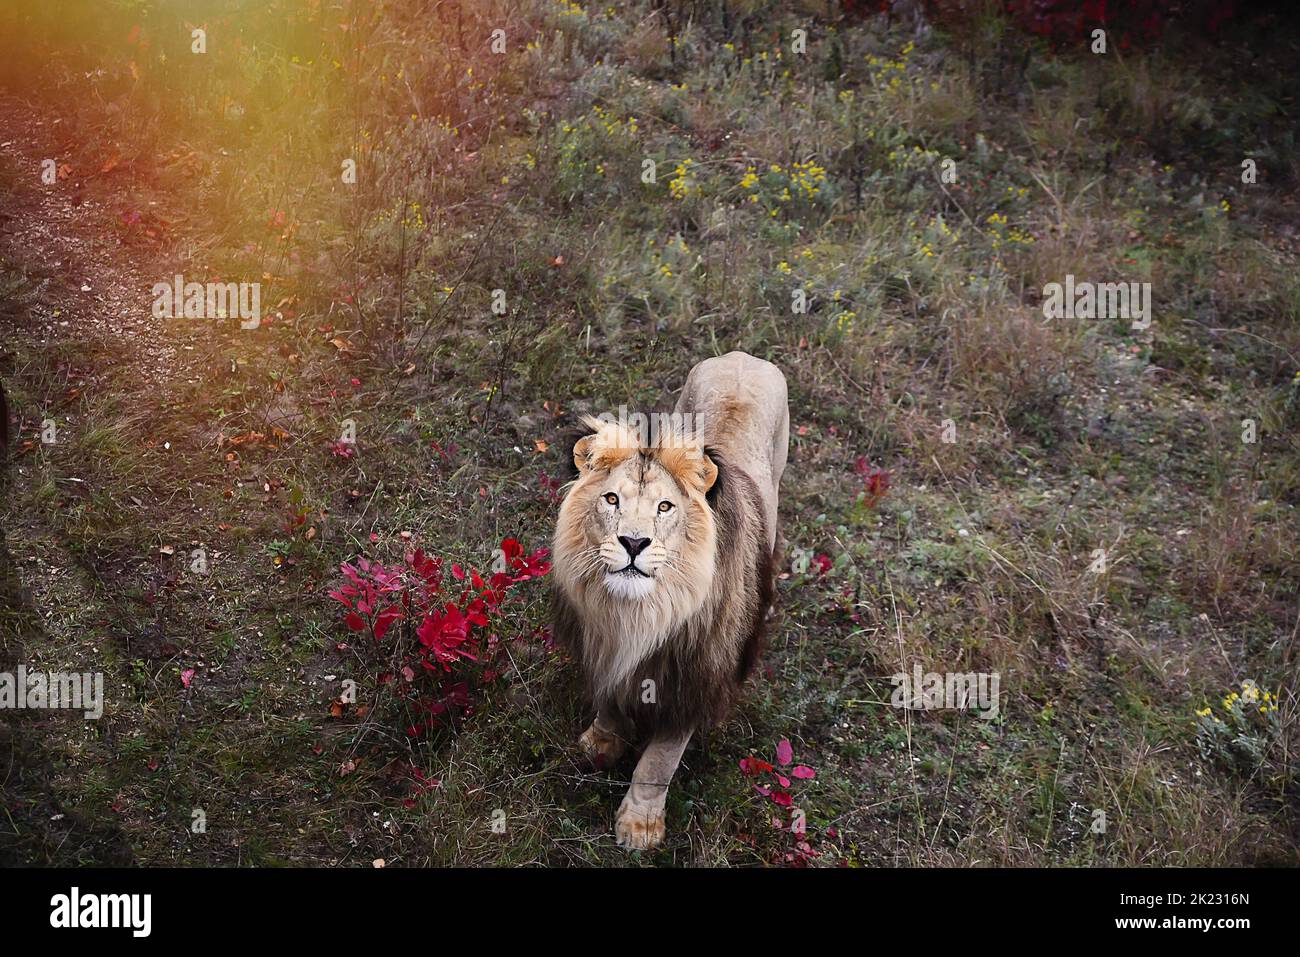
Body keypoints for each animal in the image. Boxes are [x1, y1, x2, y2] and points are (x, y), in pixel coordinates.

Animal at [552, 350, 789, 849]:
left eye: (665, 507)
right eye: (611, 500)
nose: (633, 542)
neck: (640, 613)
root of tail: (742, 355)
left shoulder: (692, 678)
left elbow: (658, 762)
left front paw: (639, 826)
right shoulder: (605, 649)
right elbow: (609, 704)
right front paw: (601, 745)